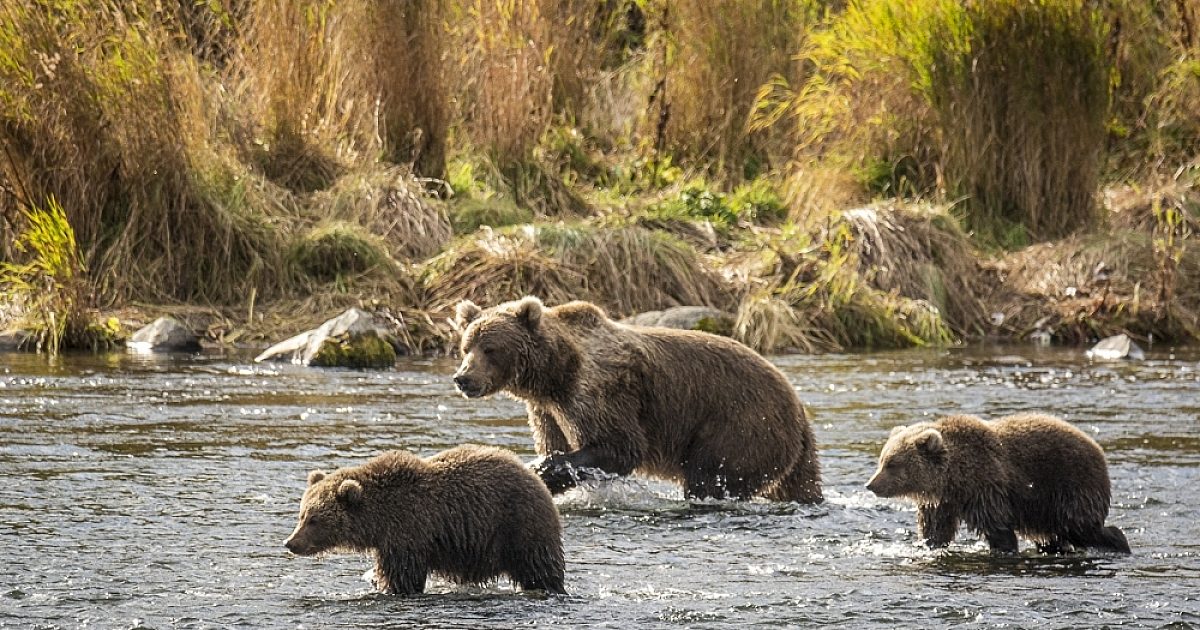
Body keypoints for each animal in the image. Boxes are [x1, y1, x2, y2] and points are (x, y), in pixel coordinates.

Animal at [284, 444, 566, 595]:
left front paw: (389, 587)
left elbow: (402, 576)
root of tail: (538, 481)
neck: (378, 520)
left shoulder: (408, 531)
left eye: (314, 520)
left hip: (520, 526)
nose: (290, 543)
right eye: (301, 515)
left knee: (539, 567)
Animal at [450, 296, 822, 503]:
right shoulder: (547, 411)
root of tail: (798, 407)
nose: (463, 378)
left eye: (490, 348)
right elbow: (554, 443)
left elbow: (620, 446)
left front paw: (542, 469)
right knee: (797, 483)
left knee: (712, 476)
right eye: (466, 346)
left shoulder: (597, 392)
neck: (555, 375)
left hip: (740, 424)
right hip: (789, 451)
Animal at [866, 413, 1130, 554]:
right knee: (1052, 535)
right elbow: (935, 529)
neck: (954, 479)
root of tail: (1099, 451)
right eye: (882, 460)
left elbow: (997, 526)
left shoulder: (985, 488)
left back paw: (1118, 542)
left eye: (892, 463)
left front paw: (1003, 547)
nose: (871, 484)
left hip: (1068, 489)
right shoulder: (943, 502)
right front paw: (927, 544)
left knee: (1082, 528)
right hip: (1044, 509)